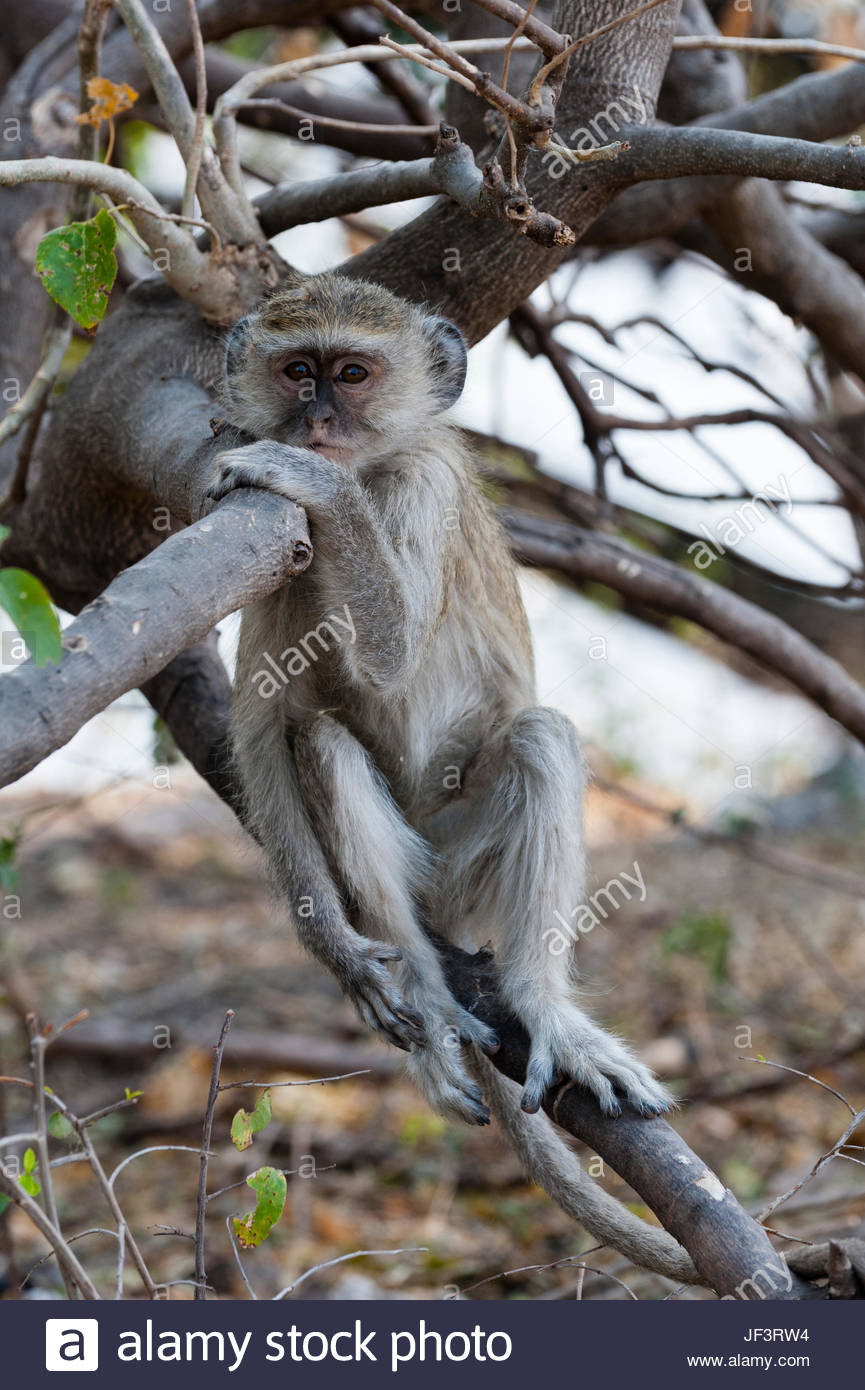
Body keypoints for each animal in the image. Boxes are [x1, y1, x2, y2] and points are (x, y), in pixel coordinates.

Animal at [204, 272, 672, 1132]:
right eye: (298, 371)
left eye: (352, 374)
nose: (317, 423)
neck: (374, 467)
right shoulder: (270, 546)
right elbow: (259, 732)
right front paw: (342, 956)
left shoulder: (423, 485)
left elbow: (389, 660)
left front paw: (312, 476)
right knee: (320, 742)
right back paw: (422, 987)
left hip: (460, 865)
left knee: (541, 739)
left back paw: (541, 1005)